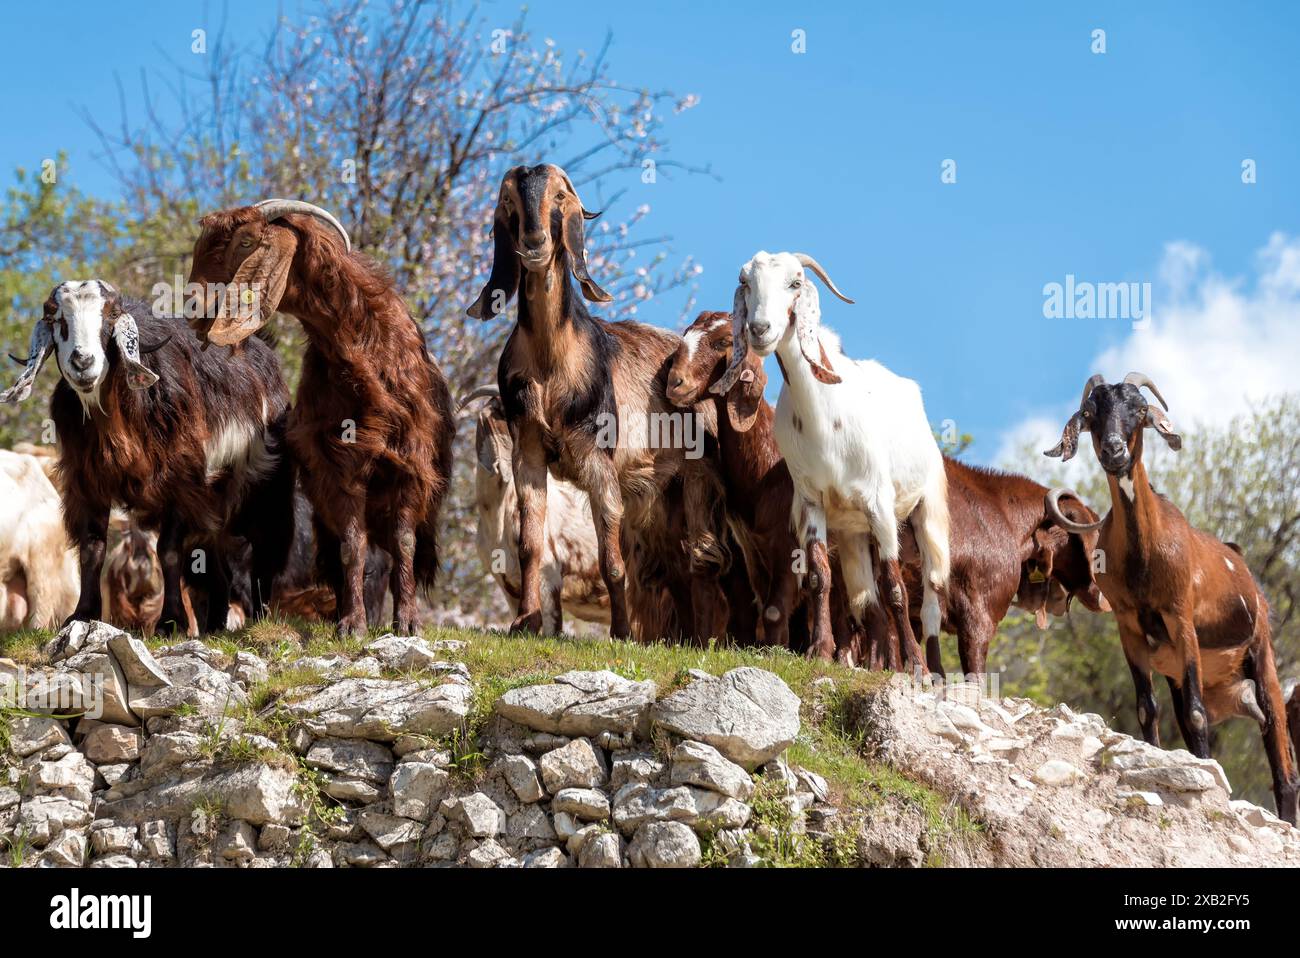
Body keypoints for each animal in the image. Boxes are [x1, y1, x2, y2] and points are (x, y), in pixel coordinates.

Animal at [187, 199, 454, 637]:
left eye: (245, 242)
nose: (193, 305)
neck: (364, 345)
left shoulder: (410, 463)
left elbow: (405, 543)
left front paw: (408, 622)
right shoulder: (337, 465)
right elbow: (351, 545)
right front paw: (352, 624)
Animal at [711, 252, 950, 669]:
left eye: (795, 282)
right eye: (746, 283)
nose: (759, 329)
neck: (825, 420)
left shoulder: (880, 505)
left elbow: (895, 587)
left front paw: (916, 668)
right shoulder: (810, 503)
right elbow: (820, 577)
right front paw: (820, 651)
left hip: (926, 511)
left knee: (930, 592)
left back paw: (925, 666)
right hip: (854, 534)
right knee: (866, 598)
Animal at [1045, 372, 1298, 824]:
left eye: (1140, 409)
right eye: (1091, 412)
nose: (1114, 450)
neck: (1145, 555)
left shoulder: (1181, 620)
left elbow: (1197, 716)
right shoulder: (1128, 627)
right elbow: (1149, 708)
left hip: (1262, 657)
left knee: (1281, 760)